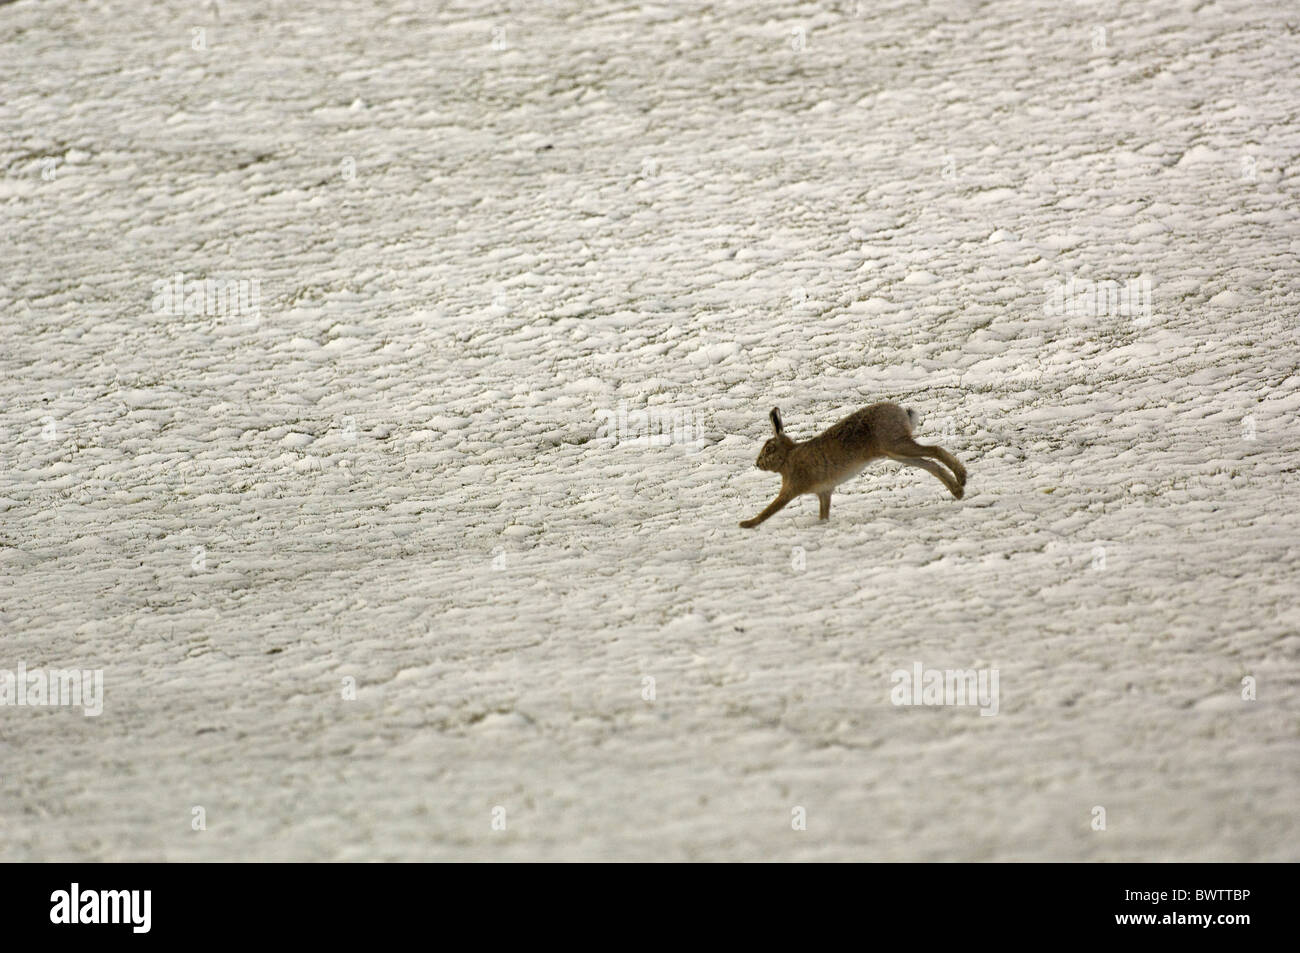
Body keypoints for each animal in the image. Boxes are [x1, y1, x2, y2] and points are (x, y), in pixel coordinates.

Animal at [739, 404, 966, 528]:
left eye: (768, 449)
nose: (757, 463)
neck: (788, 457)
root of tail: (901, 412)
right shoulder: (824, 492)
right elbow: (823, 512)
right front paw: (822, 525)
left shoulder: (791, 488)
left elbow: (770, 509)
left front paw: (747, 524)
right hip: (896, 452)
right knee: (930, 465)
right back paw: (958, 491)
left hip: (896, 444)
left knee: (935, 450)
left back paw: (962, 478)